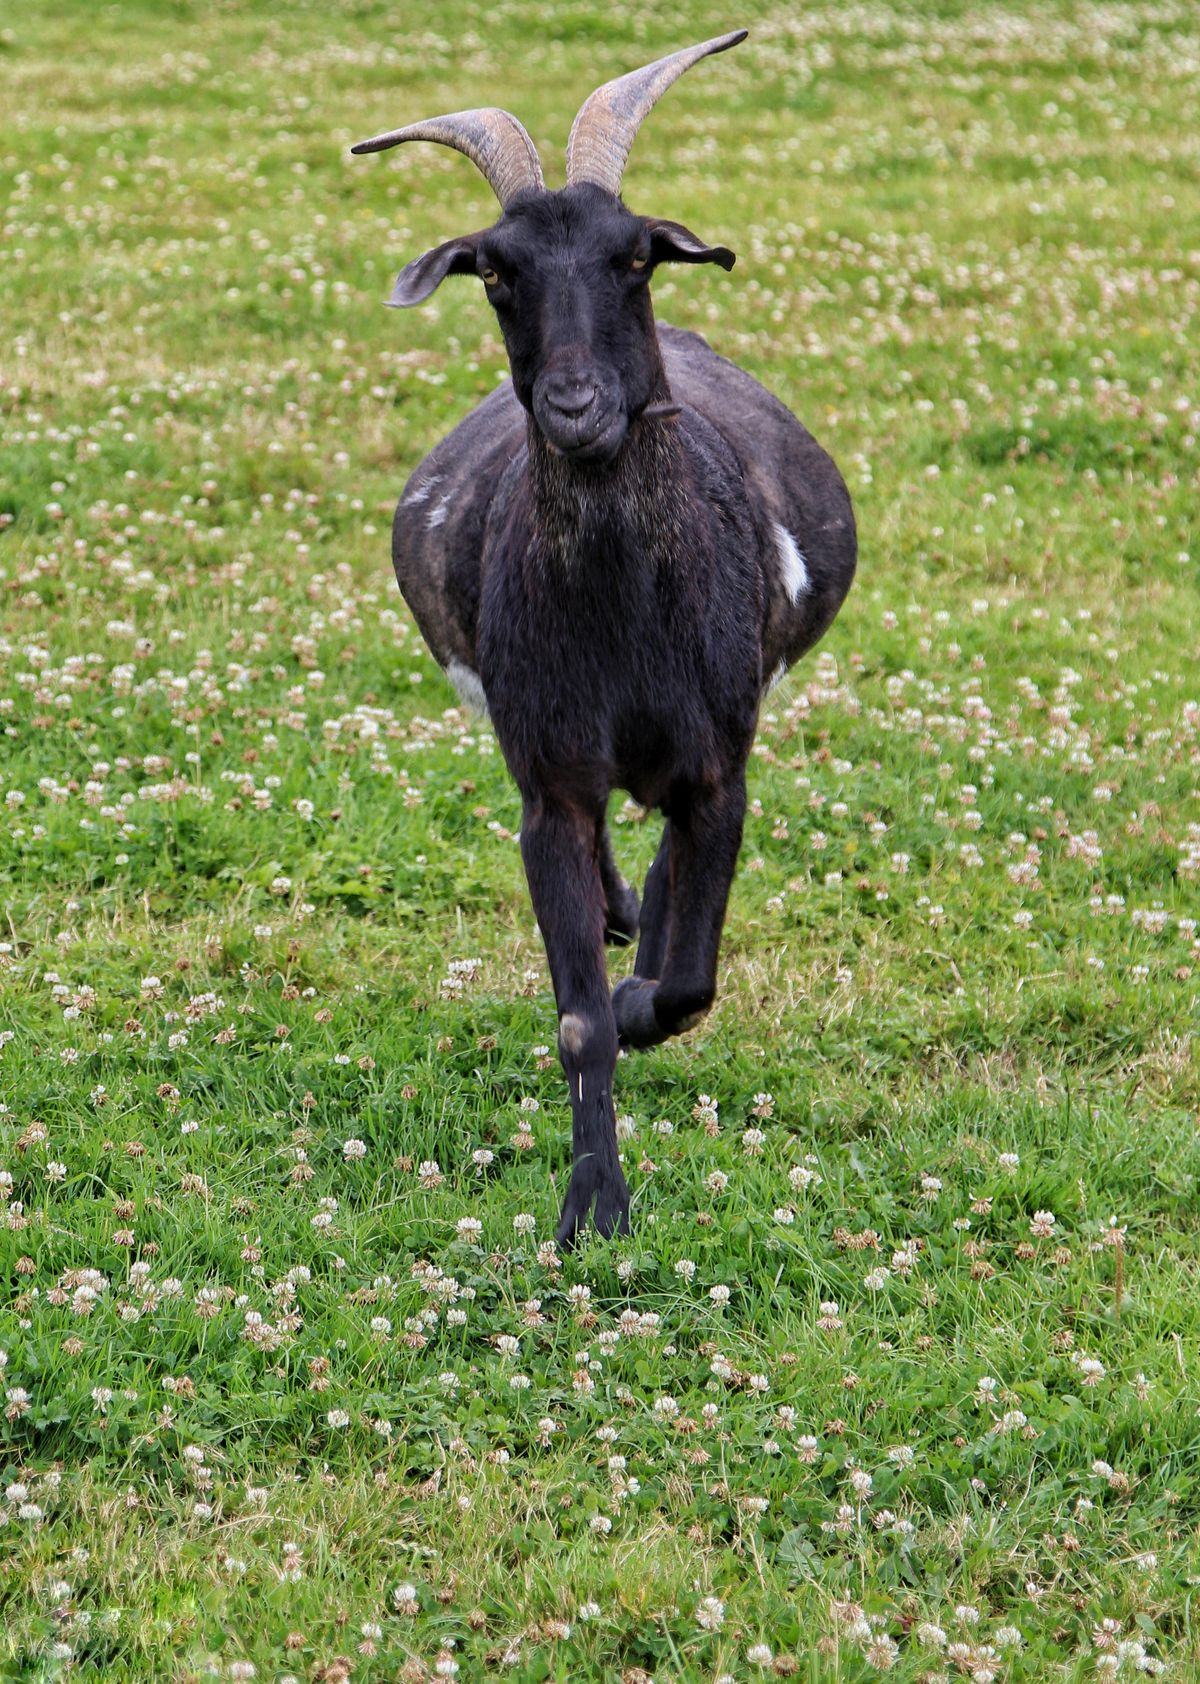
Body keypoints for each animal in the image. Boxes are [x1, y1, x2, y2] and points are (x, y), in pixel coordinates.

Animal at [352, 31, 857, 1246]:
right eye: (495, 272)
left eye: (635, 257)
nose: (576, 408)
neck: (629, 623)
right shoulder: (552, 782)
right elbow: (575, 1015)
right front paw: (595, 1203)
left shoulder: (720, 765)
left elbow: (691, 983)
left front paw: (639, 1005)